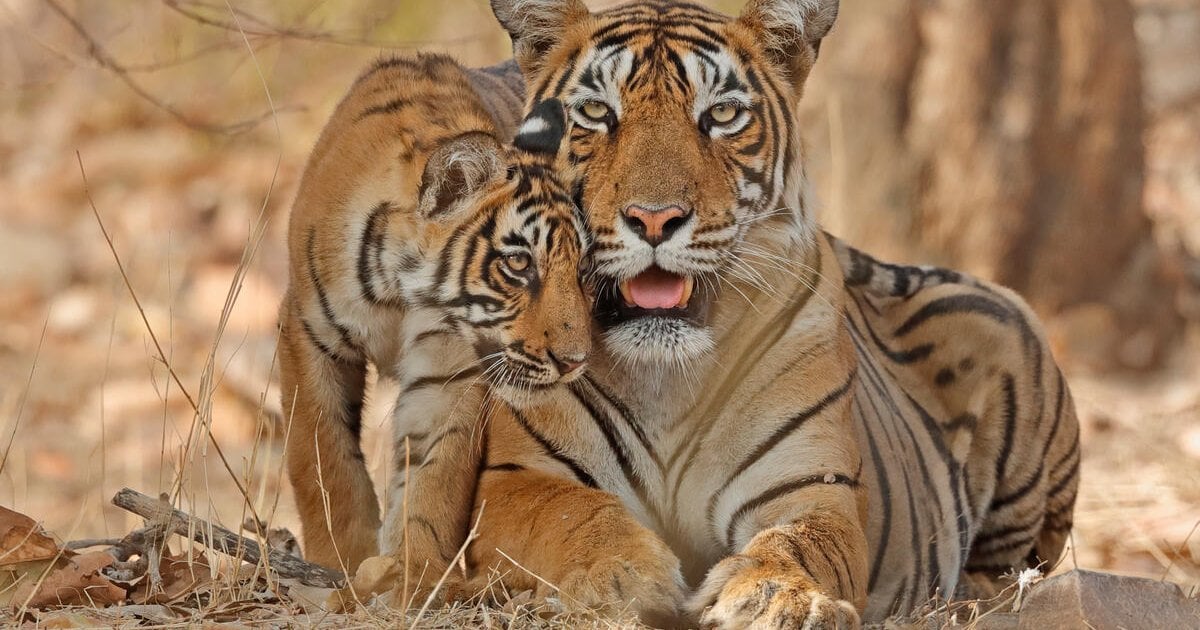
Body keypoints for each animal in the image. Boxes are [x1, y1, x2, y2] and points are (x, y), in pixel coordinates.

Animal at [276, 52, 597, 587]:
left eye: (582, 269)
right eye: (519, 263)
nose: (574, 362)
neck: (399, 291)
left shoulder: (450, 368)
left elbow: (434, 476)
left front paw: (414, 575)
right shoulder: (308, 333)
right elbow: (322, 459)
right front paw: (338, 561)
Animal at [381, 0, 1080, 627]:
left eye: (720, 115)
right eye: (596, 112)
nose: (654, 218)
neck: (665, 375)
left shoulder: (810, 486)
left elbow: (799, 543)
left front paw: (774, 597)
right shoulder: (515, 479)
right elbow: (570, 516)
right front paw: (623, 575)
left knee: (1019, 566)